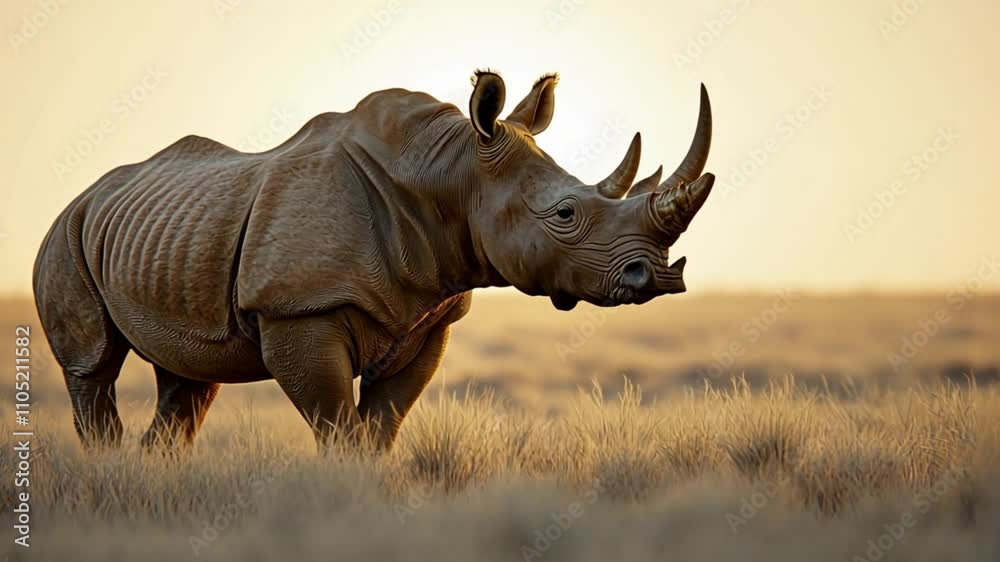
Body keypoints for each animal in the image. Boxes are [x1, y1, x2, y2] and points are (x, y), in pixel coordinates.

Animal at [33, 70, 715, 451]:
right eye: (566, 214)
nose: (658, 276)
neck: (449, 174)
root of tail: (84, 194)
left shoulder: (429, 317)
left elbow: (379, 431)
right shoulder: (297, 309)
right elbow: (338, 429)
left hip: (166, 237)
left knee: (188, 382)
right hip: (64, 234)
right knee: (93, 367)